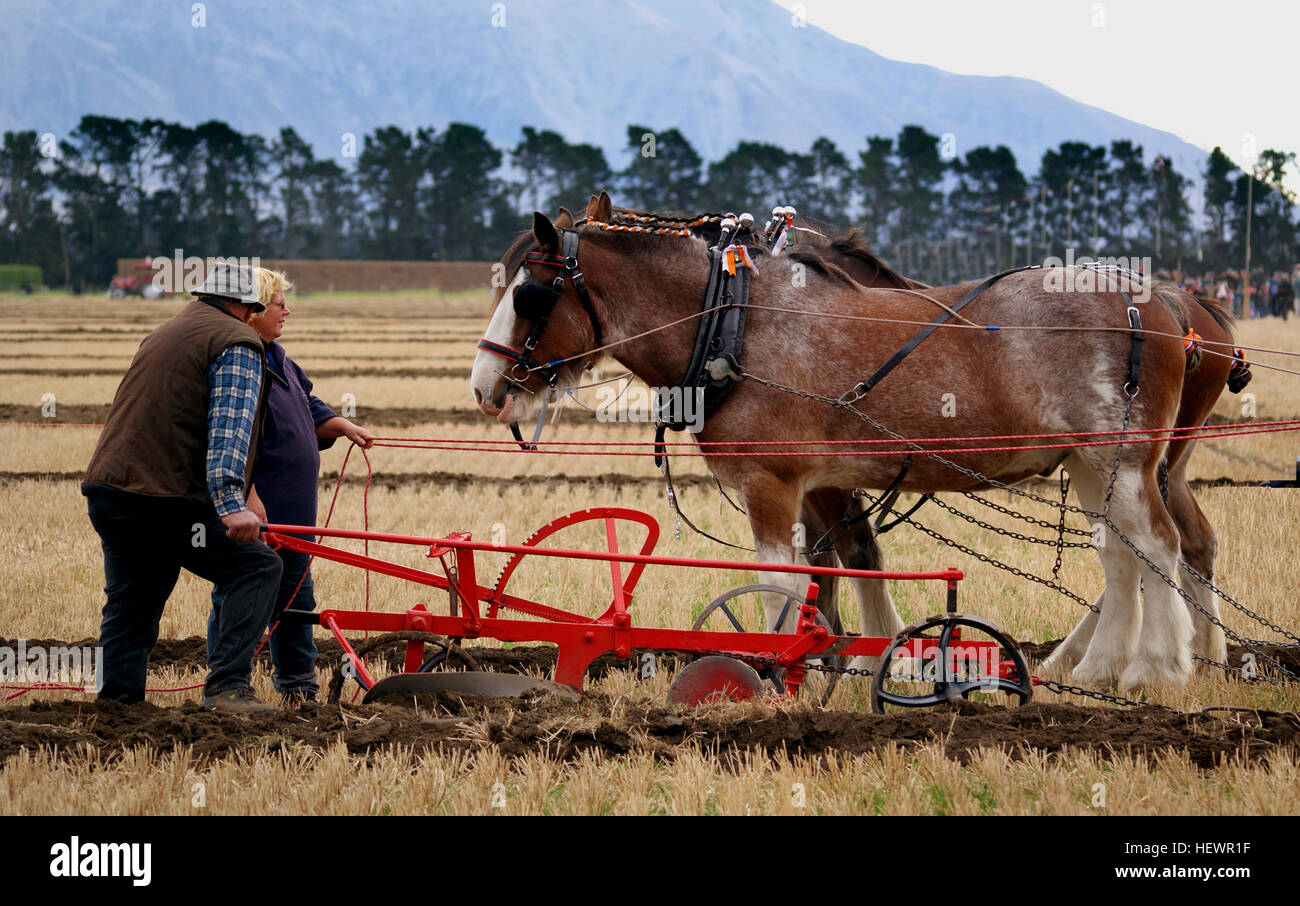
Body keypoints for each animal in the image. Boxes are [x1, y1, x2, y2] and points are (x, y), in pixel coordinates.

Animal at [471, 191, 1196, 690]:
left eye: (531, 296)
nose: (485, 388)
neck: (734, 323)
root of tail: (1153, 302)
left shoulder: (771, 481)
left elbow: (780, 584)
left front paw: (771, 674)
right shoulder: (815, 484)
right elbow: (828, 572)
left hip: (1123, 457)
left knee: (1158, 545)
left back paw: (1156, 669)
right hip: (1093, 465)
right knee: (1121, 555)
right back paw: (1099, 668)